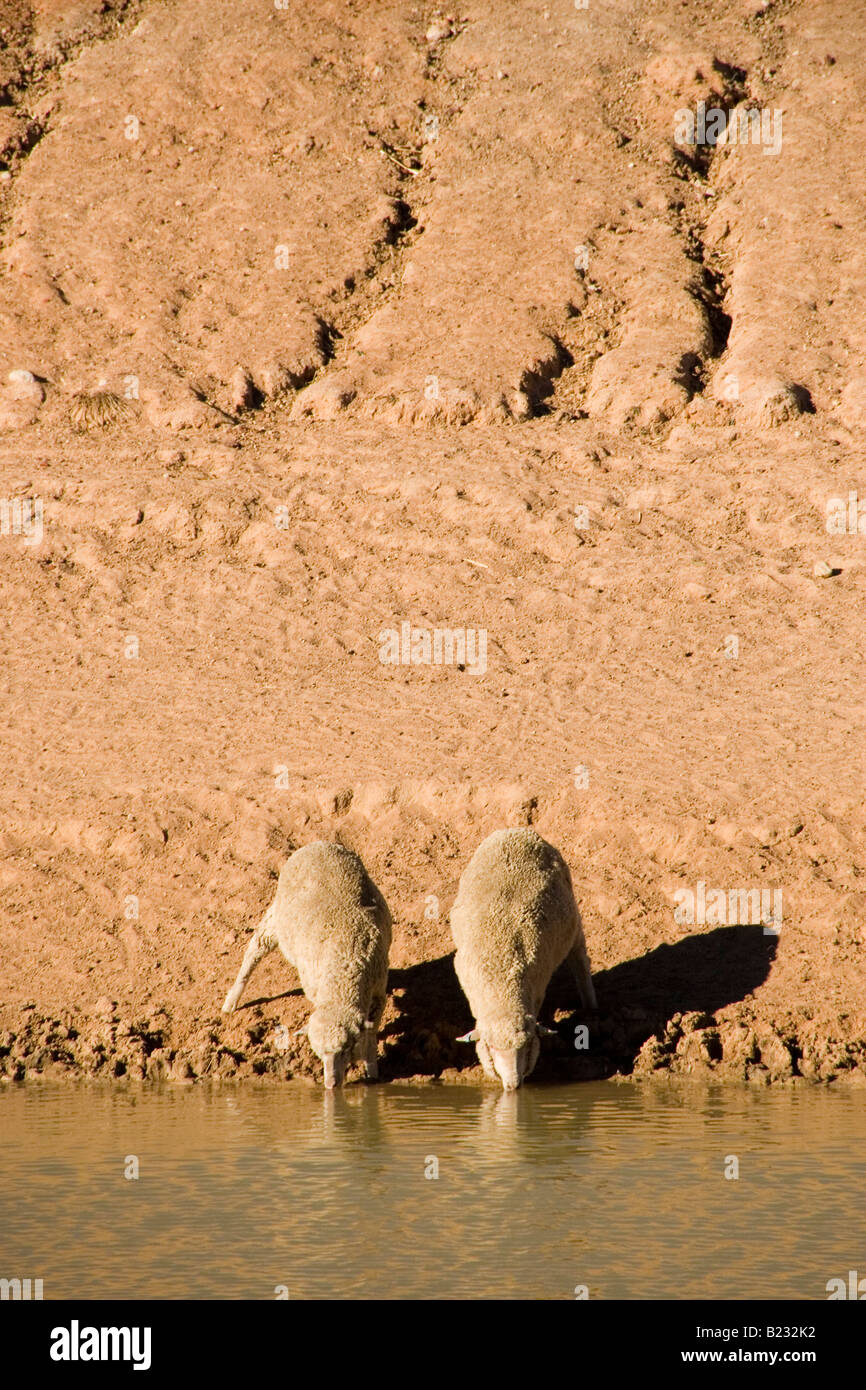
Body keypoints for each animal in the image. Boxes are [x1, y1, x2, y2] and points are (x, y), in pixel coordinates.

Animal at [221, 841, 392, 1088]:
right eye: (318, 1053)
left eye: (345, 1049)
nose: (331, 1085)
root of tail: (318, 844)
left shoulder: (378, 993)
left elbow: (370, 1037)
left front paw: (372, 1069)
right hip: (275, 917)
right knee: (254, 950)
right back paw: (232, 1001)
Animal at [450, 827, 596, 1090]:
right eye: (493, 1049)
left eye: (525, 1047)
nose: (513, 1084)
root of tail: (517, 830)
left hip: (574, 923)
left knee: (580, 960)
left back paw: (591, 1006)